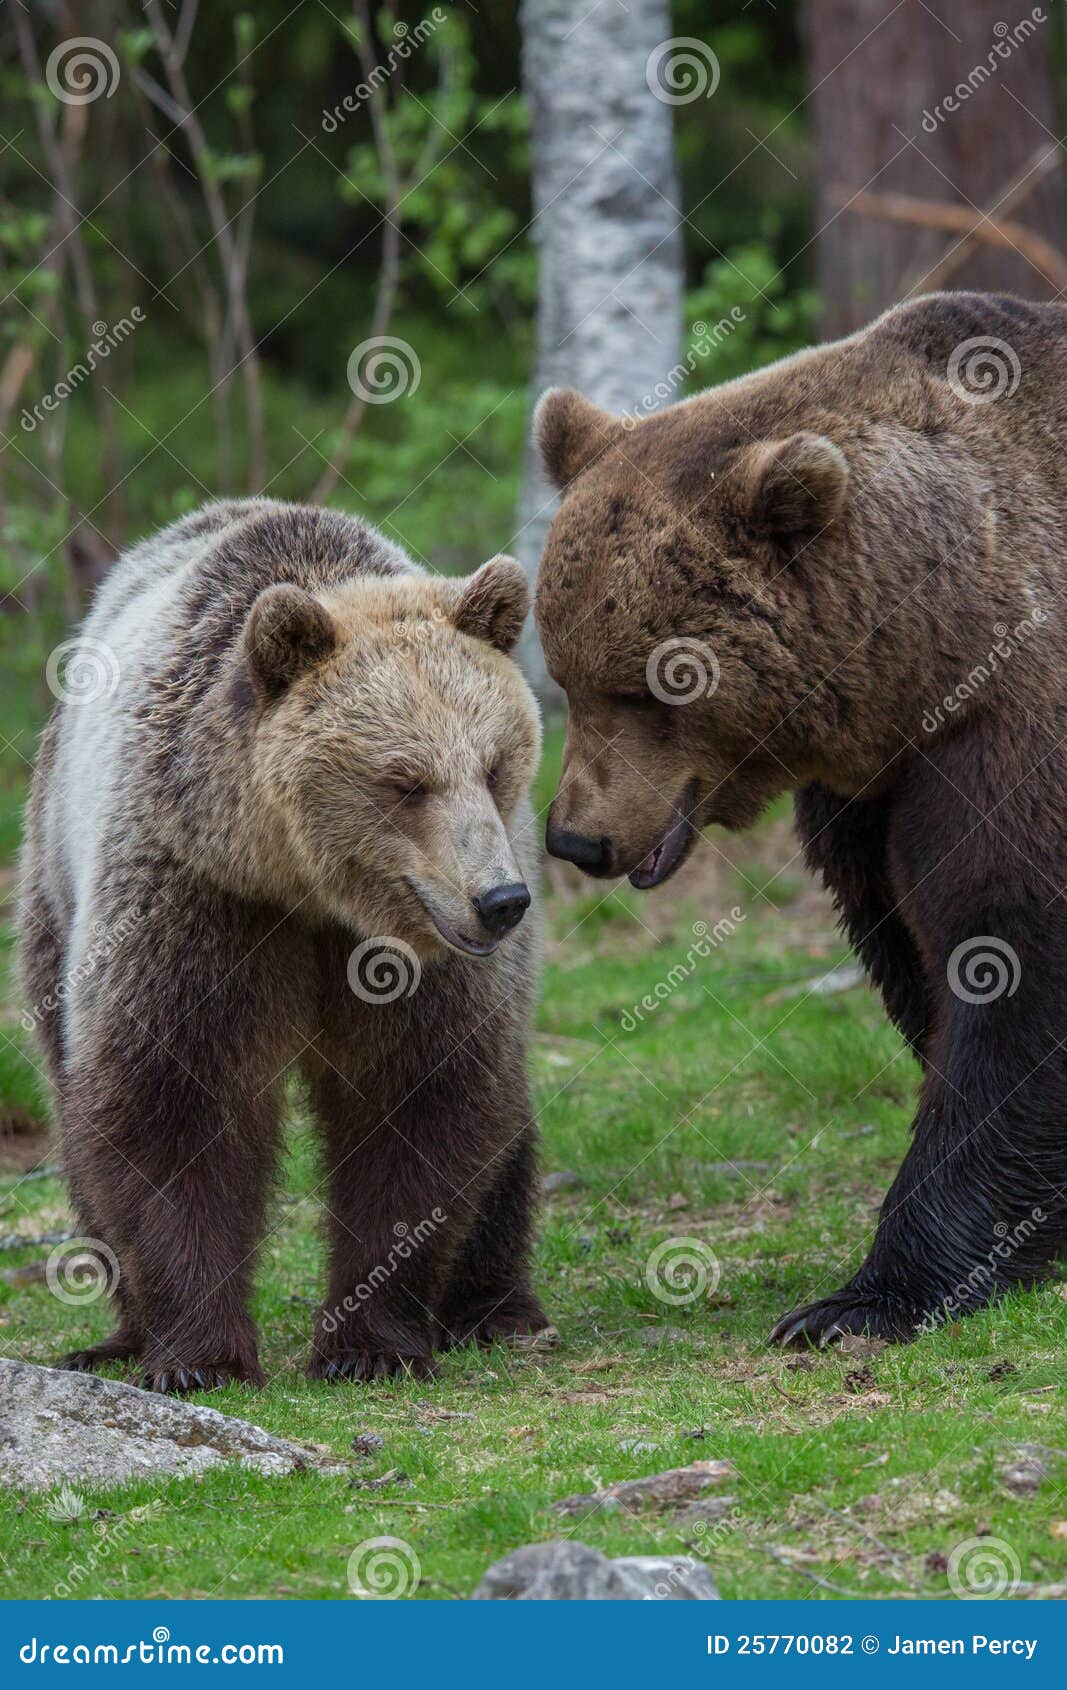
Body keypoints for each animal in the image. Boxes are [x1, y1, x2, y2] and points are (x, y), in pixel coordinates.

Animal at [19, 498, 548, 1392]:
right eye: (404, 781)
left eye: (495, 763)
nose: (499, 901)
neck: (305, 888)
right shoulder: (198, 899)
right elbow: (172, 1101)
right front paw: (199, 1357)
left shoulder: (418, 966)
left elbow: (420, 1100)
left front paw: (370, 1344)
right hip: (53, 880)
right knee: (74, 1109)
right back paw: (119, 1336)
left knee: (504, 1116)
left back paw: (496, 1309)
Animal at [532, 290, 1067, 1345]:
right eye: (565, 675)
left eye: (653, 684)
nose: (576, 836)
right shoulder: (874, 791)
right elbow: (913, 950)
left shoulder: (1008, 724)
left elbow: (1008, 950)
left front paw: (864, 1298)